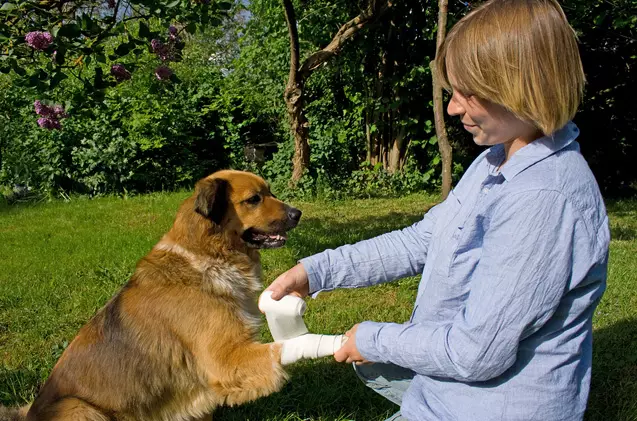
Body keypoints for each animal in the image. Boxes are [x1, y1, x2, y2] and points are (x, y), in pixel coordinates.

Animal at [2, 169, 300, 418]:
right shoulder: (225, 360)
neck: (207, 256)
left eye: (270, 192)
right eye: (254, 199)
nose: (297, 213)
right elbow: (274, 353)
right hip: (78, 406)